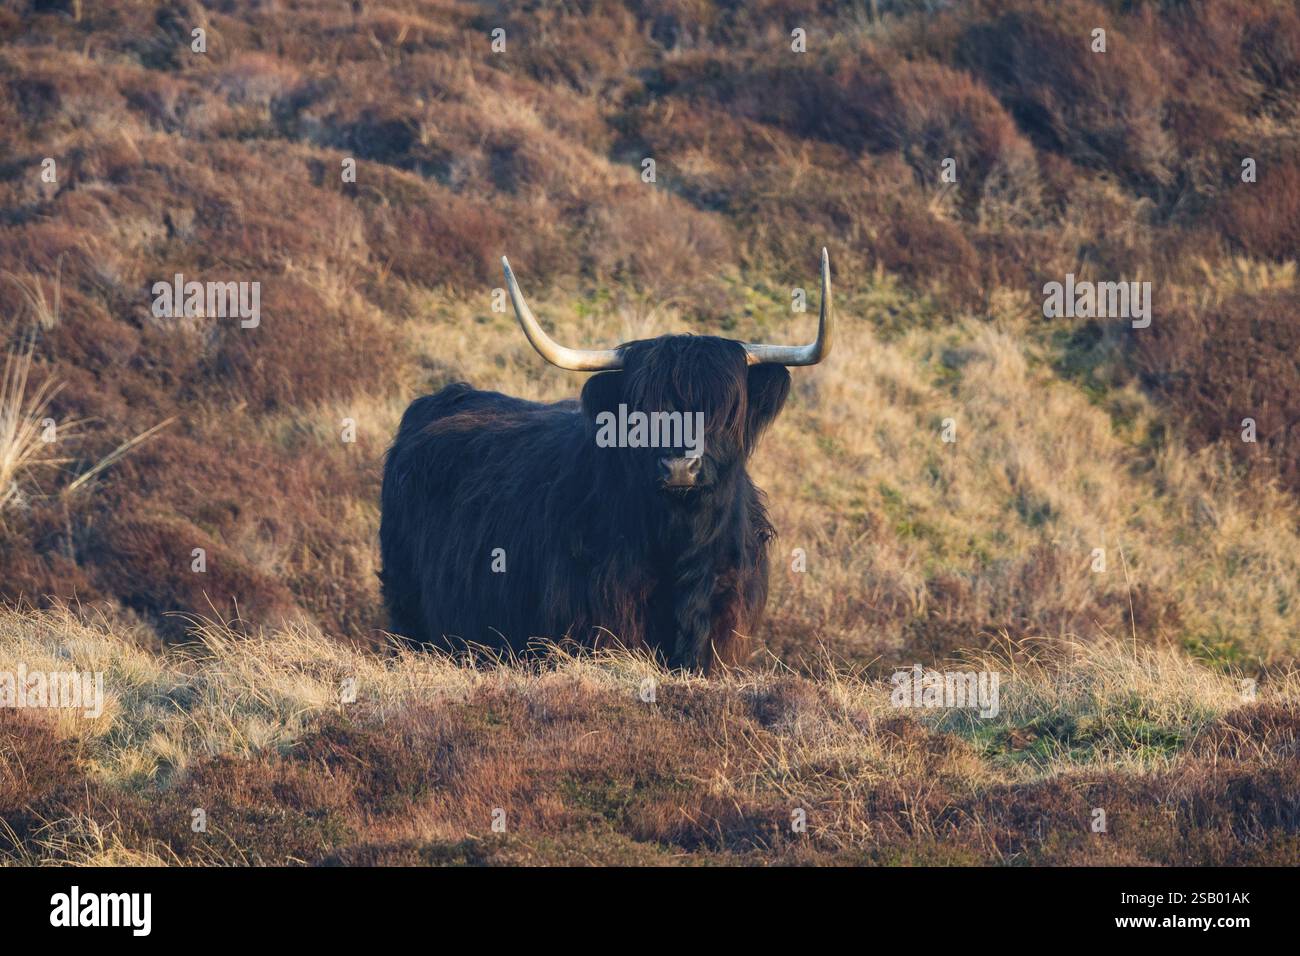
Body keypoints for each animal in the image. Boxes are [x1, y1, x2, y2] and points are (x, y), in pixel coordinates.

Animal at [379, 250, 834, 672]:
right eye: (640, 412)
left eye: (724, 409)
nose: (678, 468)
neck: (681, 546)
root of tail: (446, 396)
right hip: (408, 610)